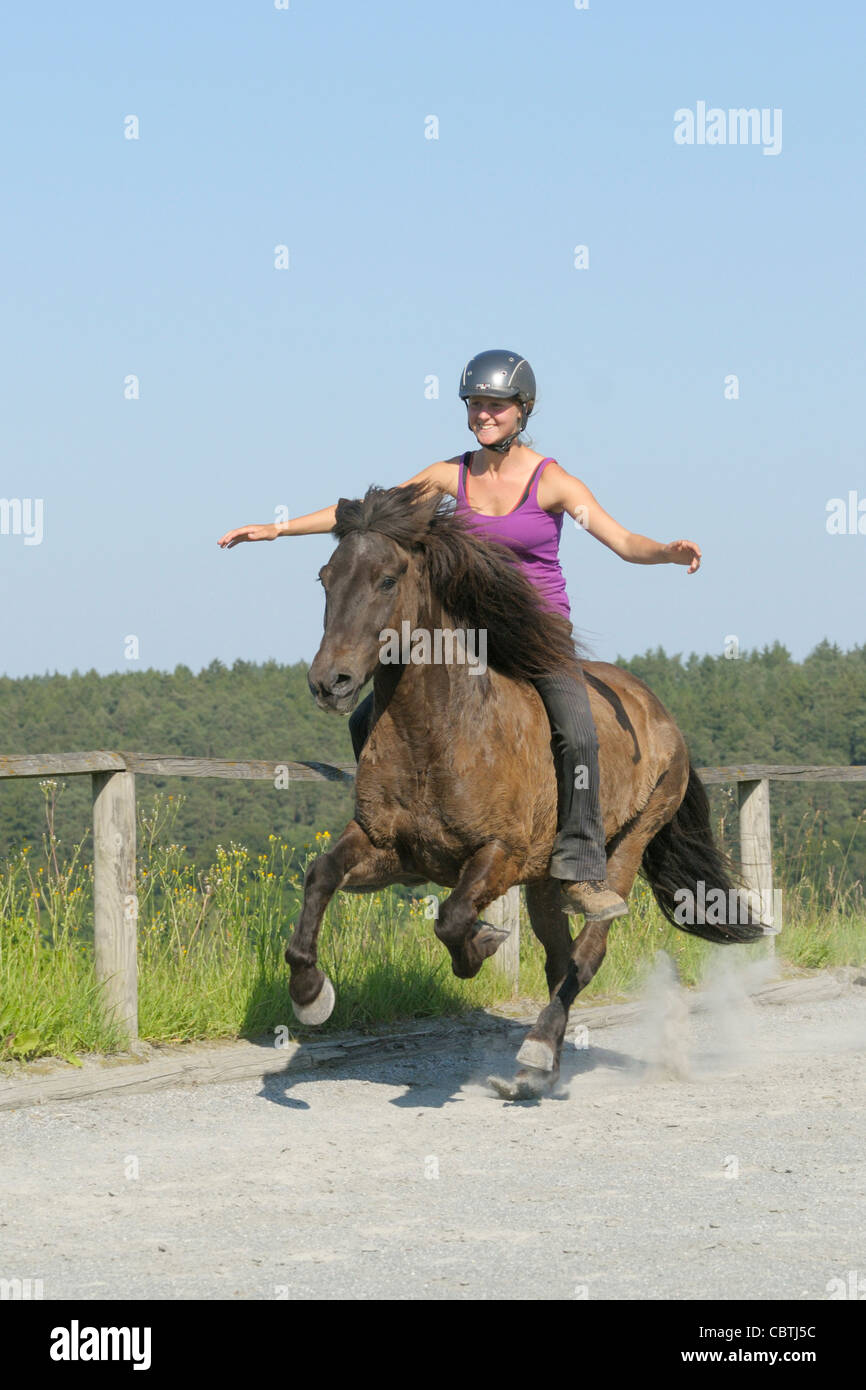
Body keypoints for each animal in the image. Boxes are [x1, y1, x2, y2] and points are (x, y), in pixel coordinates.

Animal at [285, 481, 766, 1098]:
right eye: (326, 577)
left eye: (388, 580)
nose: (331, 682)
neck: (437, 732)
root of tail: (660, 714)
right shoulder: (388, 848)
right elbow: (320, 874)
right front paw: (310, 994)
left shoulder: (500, 853)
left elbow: (452, 919)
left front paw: (483, 943)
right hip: (544, 879)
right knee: (560, 961)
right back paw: (541, 1068)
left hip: (626, 845)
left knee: (587, 953)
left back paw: (536, 1051)